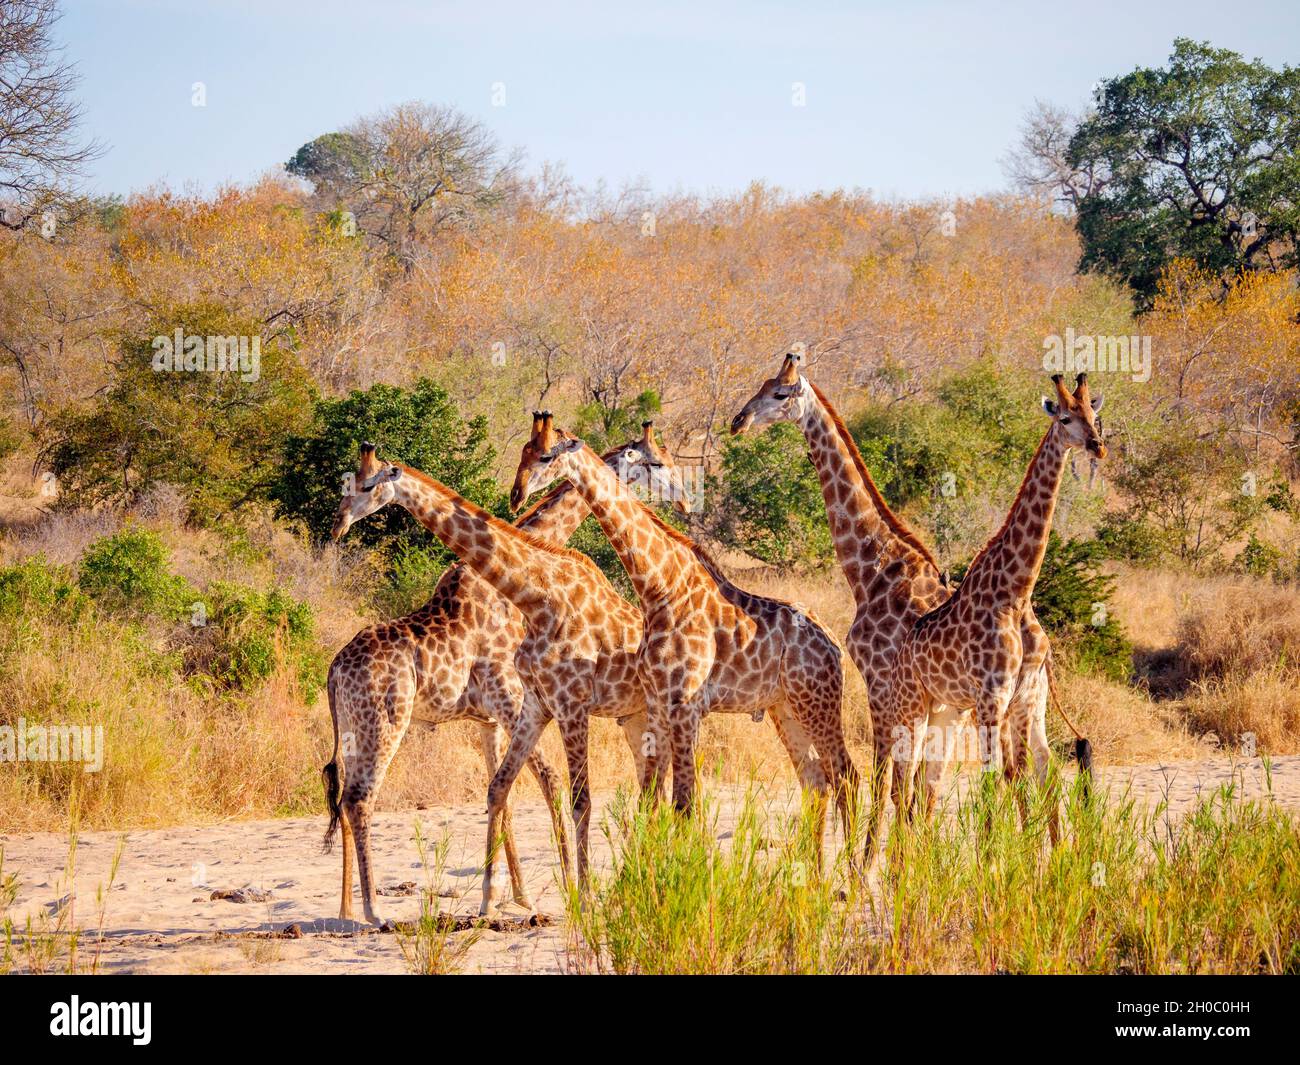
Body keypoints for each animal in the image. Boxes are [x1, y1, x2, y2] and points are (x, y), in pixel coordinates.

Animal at [324, 425, 674, 923]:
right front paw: (548, 889)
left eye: (364, 483)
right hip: (383, 723)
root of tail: (334, 669)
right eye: (655, 461)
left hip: (358, 728)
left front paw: (519, 894)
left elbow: (505, 793)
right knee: (358, 798)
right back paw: (370, 909)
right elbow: (542, 783)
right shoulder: (511, 701)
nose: (337, 523)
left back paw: (347, 907)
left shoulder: (491, 717)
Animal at [510, 413, 858, 861]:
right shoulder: (659, 703)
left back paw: (854, 870)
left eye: (547, 455)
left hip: (818, 704)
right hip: (786, 709)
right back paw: (817, 870)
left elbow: (685, 804)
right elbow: (653, 802)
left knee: (848, 775)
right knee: (817, 780)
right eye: (526, 450)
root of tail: (833, 645)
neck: (660, 587)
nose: (516, 495)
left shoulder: (686, 706)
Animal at [731, 351, 1071, 856]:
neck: (873, 567)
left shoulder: (881, 685)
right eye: (762, 384)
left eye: (779, 392)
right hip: (1014, 703)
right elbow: (912, 790)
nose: (739, 420)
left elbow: (888, 784)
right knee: (1029, 771)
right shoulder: (922, 704)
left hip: (994, 704)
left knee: (1010, 773)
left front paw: (869, 864)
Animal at [883, 372, 1105, 855]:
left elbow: (1036, 773)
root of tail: (903, 650)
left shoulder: (1026, 697)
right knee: (902, 781)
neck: (1017, 594)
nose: (1097, 445)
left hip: (947, 711)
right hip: (912, 706)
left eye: (1094, 415)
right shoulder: (992, 699)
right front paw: (995, 862)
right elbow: (994, 781)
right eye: (1064, 418)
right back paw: (900, 864)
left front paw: (1048, 859)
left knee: (925, 783)